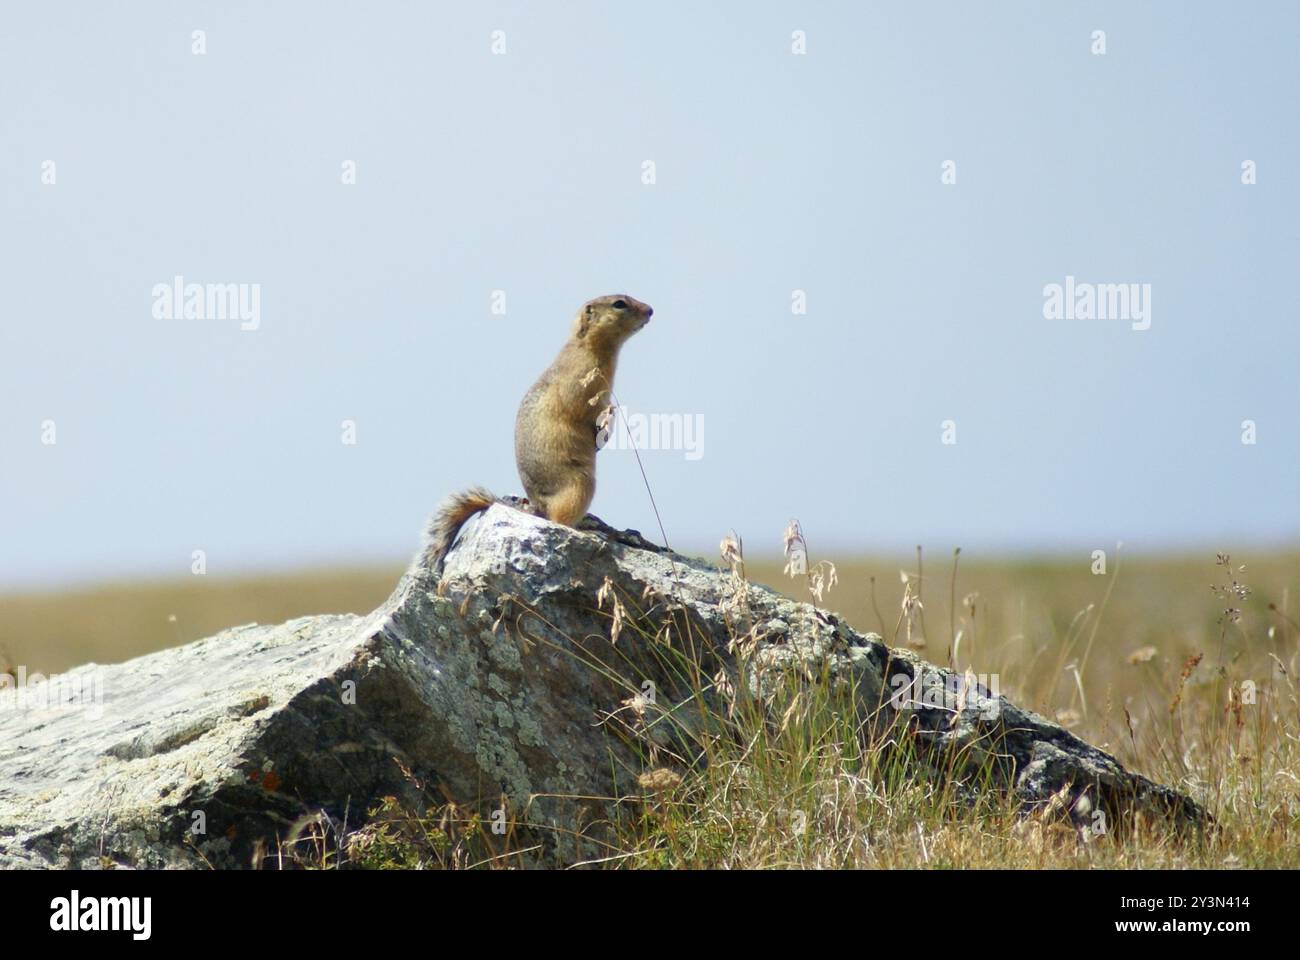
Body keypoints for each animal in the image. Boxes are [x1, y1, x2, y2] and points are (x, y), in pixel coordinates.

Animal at [420, 294, 653, 576]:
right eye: (620, 303)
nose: (651, 310)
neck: (587, 346)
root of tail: (538, 508)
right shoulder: (583, 381)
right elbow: (584, 409)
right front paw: (602, 430)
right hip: (581, 484)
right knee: (561, 520)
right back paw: (592, 531)